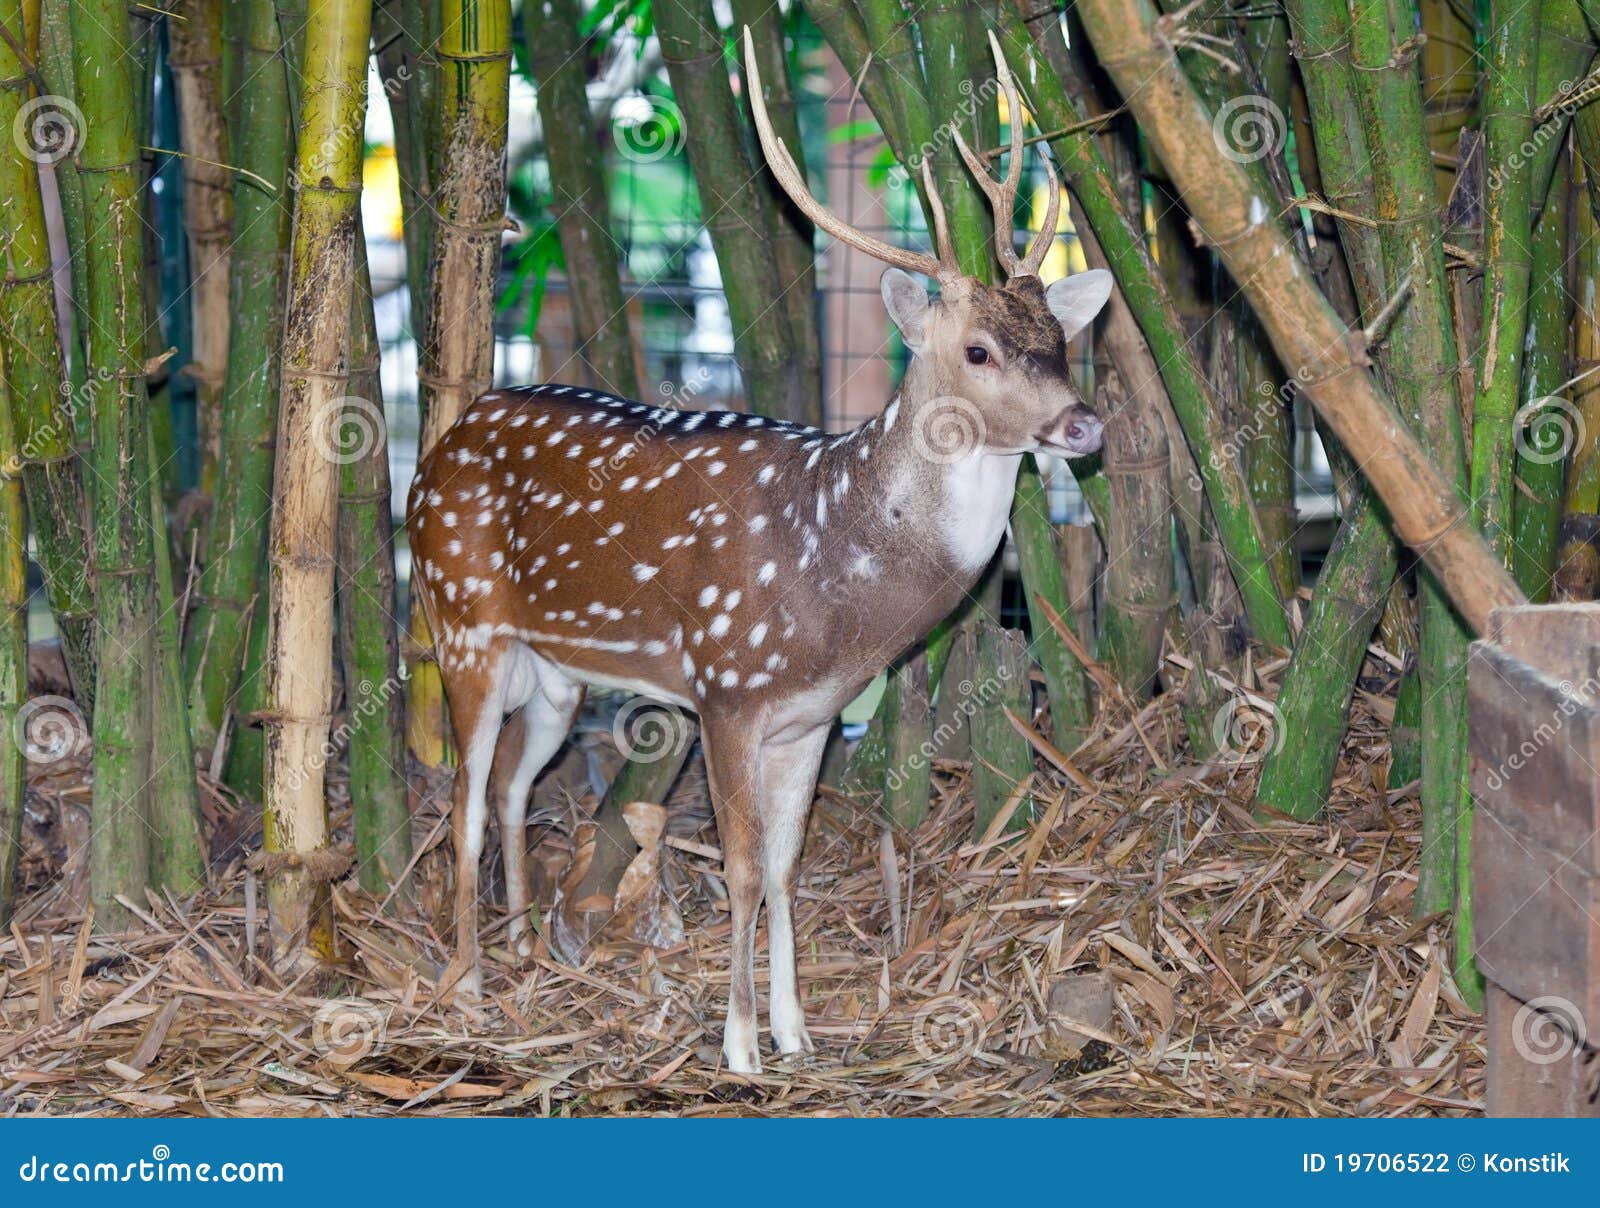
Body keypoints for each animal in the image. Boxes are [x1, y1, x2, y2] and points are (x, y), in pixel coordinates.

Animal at [404, 29, 1113, 1073]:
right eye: (979, 350)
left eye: (1059, 338)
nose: (1082, 423)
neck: (837, 577)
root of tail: (439, 445)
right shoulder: (727, 688)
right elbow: (738, 868)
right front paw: (738, 1043)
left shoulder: (809, 717)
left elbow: (786, 865)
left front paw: (795, 1031)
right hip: (462, 620)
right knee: (458, 798)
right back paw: (467, 987)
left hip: (558, 673)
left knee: (507, 786)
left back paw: (526, 947)